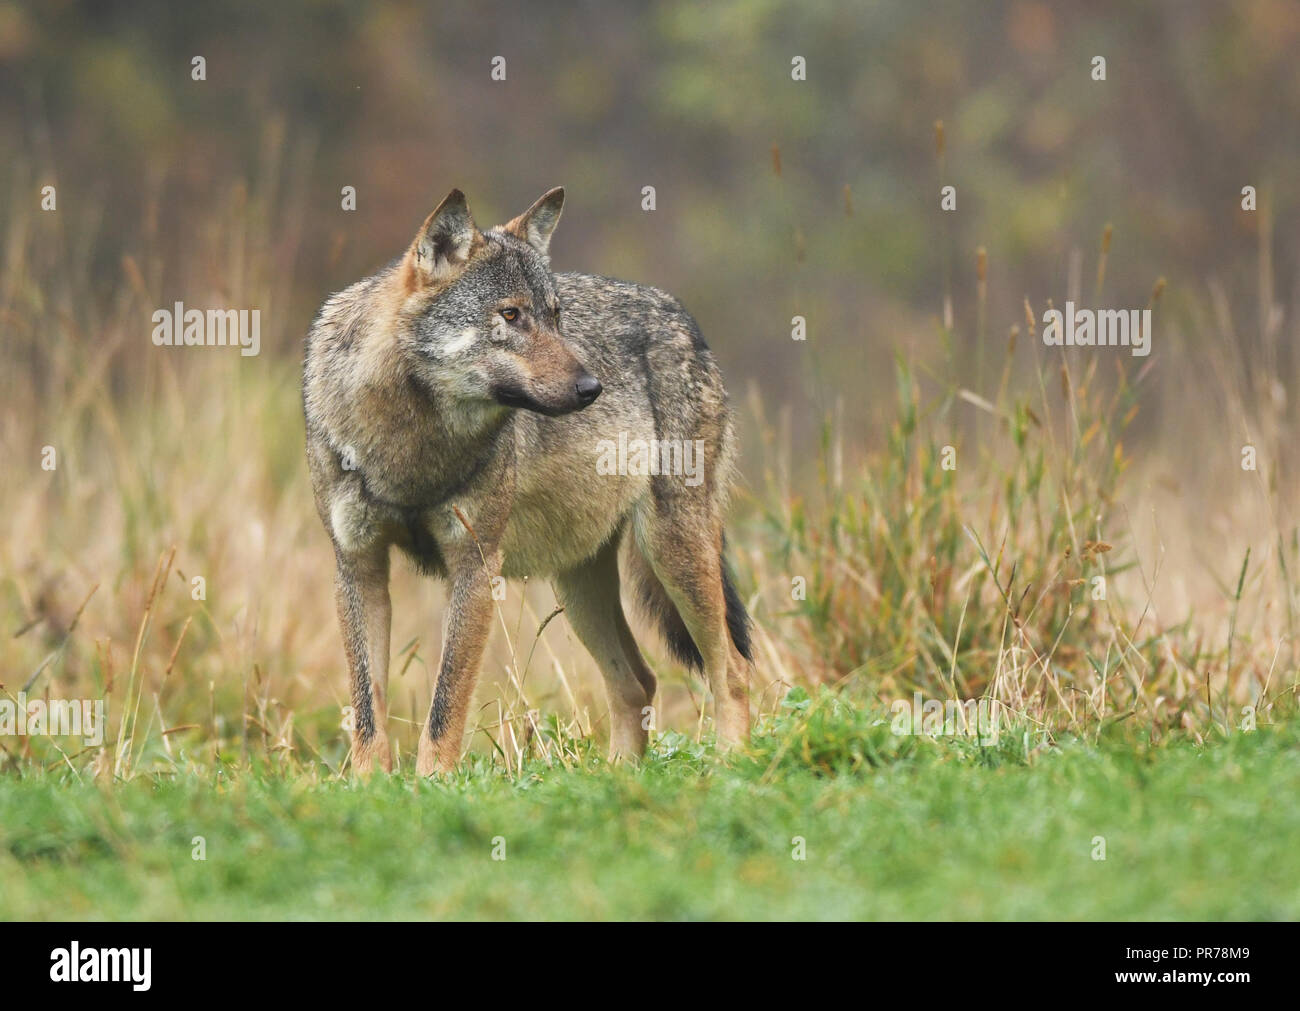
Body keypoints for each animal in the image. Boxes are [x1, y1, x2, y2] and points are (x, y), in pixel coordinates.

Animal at [303, 187, 753, 776]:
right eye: (511, 315)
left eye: (556, 317)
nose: (592, 388)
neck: (408, 443)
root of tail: (686, 319)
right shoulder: (358, 566)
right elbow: (367, 712)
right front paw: (369, 785)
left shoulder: (475, 566)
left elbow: (445, 707)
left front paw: (432, 785)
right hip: (580, 585)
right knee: (638, 683)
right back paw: (616, 779)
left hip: (671, 553)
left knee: (733, 671)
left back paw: (730, 766)